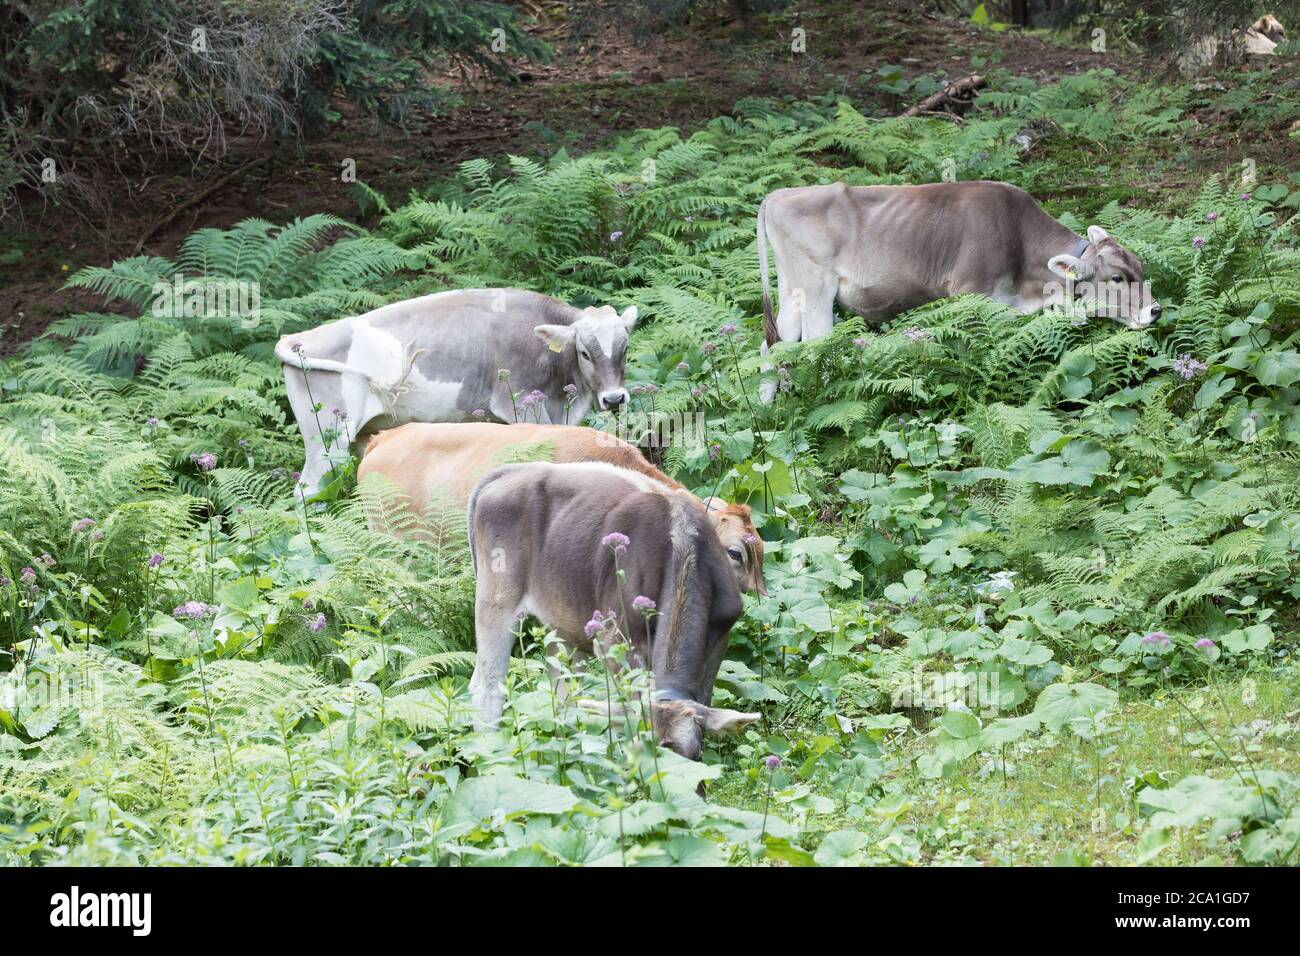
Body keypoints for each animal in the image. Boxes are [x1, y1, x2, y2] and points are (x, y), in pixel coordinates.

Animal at [275, 289, 638, 495]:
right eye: (585, 353)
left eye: (625, 348)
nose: (614, 398)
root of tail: (299, 336)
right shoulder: (524, 405)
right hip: (327, 439)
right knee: (307, 490)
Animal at [467, 461, 759, 760]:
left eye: (697, 756)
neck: (683, 545)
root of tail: (512, 470)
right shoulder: (615, 643)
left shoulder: (721, 637)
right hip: (496, 599)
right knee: (487, 689)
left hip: (561, 622)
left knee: (561, 692)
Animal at [755, 180, 1160, 401]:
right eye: (1117, 278)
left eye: (1140, 267)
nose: (1155, 310)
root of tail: (779, 195)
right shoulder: (970, 294)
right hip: (814, 290)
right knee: (814, 349)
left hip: (791, 292)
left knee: (773, 345)